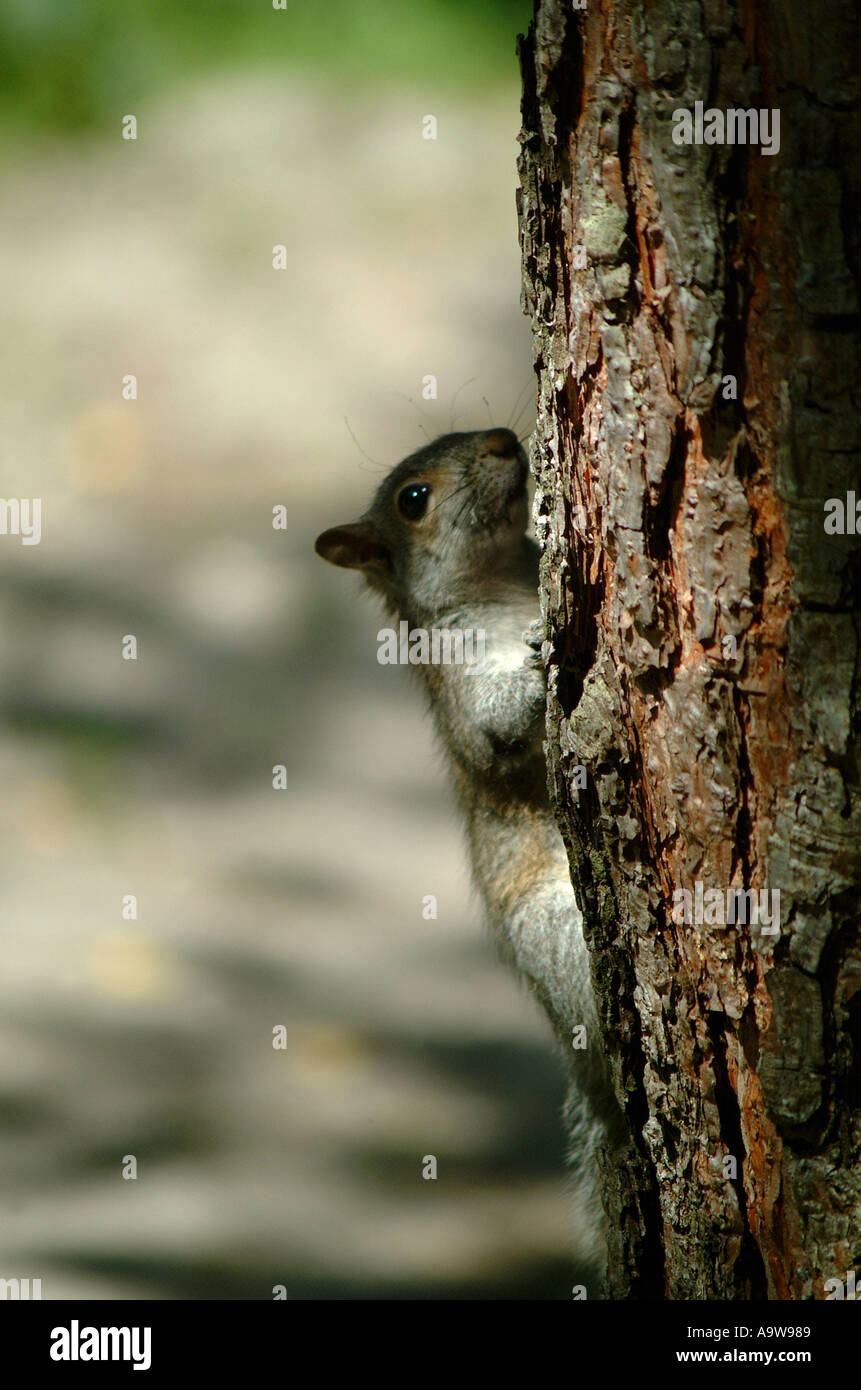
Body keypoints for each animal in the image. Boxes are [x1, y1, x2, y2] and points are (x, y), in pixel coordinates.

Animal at [317, 422, 625, 1278]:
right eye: (411, 499)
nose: (501, 438)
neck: (503, 578)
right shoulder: (458, 683)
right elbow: (495, 727)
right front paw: (541, 645)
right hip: (554, 934)